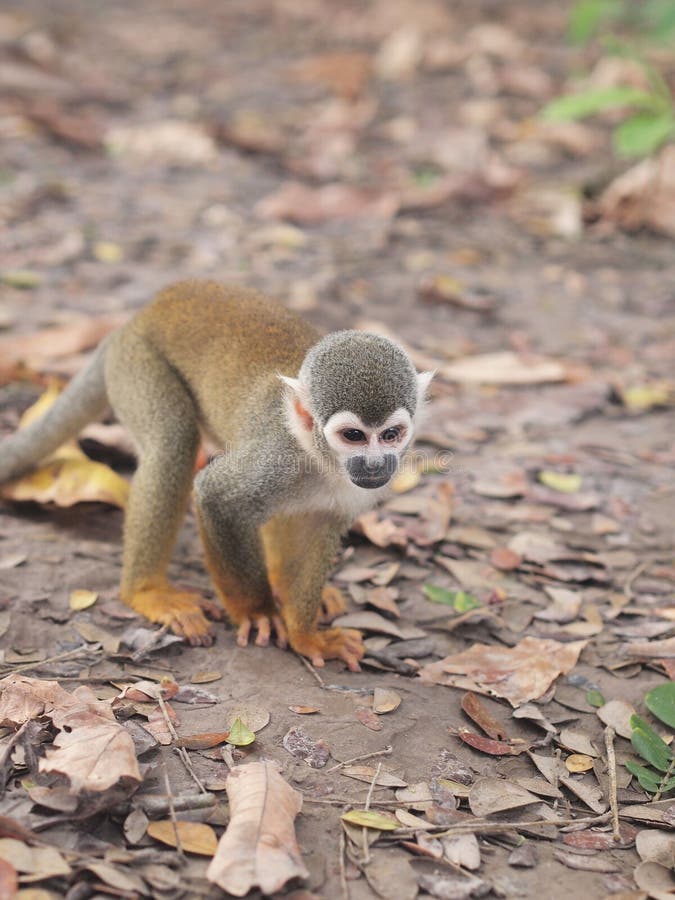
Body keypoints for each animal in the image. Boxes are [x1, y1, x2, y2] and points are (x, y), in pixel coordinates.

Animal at [0, 281, 432, 670]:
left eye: (390, 434)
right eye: (354, 436)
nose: (376, 465)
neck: (319, 458)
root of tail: (144, 312)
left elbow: (317, 527)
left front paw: (306, 634)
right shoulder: (276, 457)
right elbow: (217, 497)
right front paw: (258, 612)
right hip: (136, 363)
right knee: (172, 441)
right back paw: (147, 591)